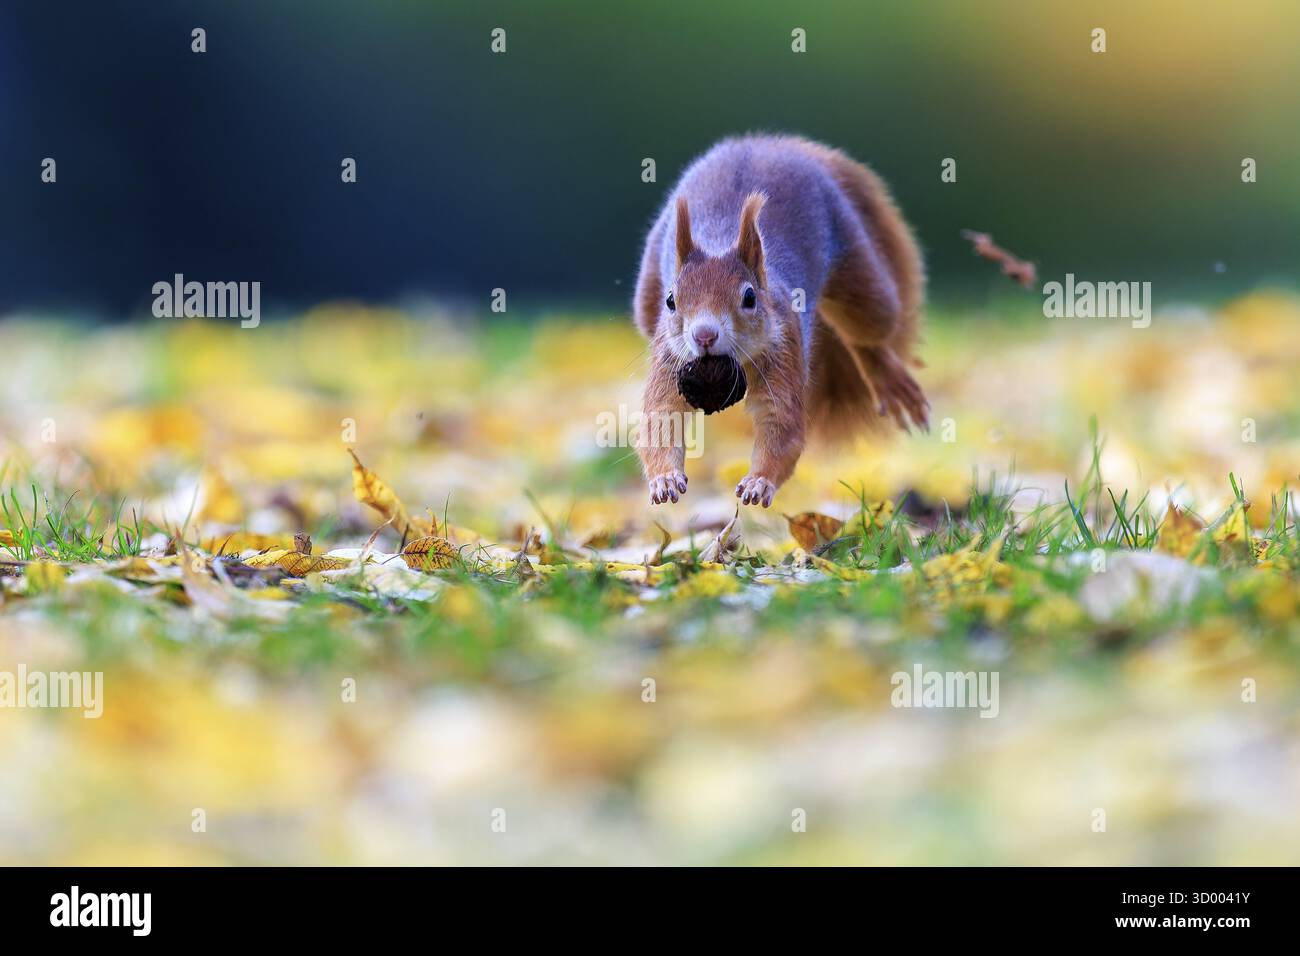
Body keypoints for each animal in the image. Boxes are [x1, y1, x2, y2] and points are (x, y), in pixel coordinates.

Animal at [633, 134, 929, 507]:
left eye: (749, 298)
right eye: (671, 300)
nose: (704, 336)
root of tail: (771, 145)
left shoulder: (785, 344)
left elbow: (781, 421)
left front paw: (760, 481)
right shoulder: (669, 356)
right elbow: (661, 416)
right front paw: (665, 478)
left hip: (860, 271)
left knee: (868, 330)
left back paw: (887, 376)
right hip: (645, 301)